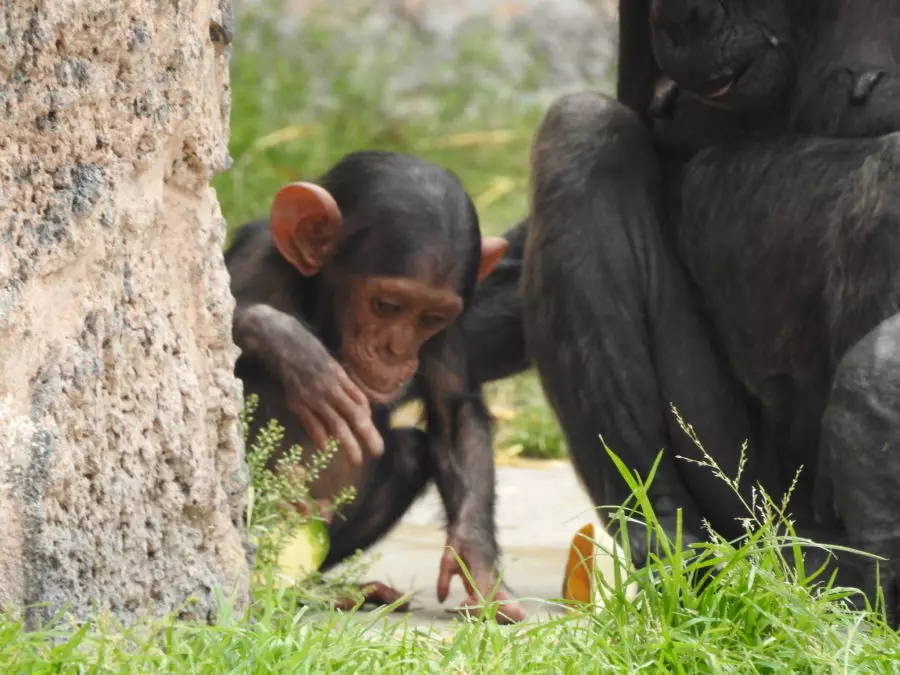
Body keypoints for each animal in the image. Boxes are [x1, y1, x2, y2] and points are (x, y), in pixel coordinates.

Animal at [224, 152, 528, 624]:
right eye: (386, 306)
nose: (396, 351)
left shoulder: (453, 322)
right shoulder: (254, 258)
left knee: (409, 451)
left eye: (429, 318)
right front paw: (291, 348)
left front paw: (477, 562)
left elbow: (454, 413)